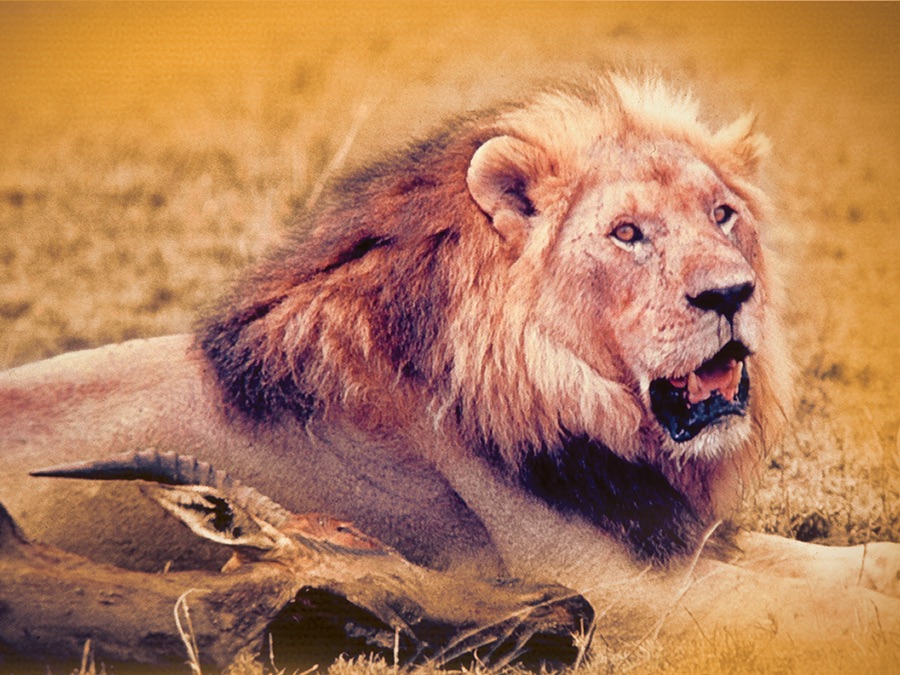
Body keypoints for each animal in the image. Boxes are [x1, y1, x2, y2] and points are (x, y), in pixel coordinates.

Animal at [1, 74, 898, 656]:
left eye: (723, 215)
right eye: (627, 233)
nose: (730, 292)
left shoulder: (683, 539)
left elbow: (852, 564)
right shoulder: (621, 592)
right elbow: (819, 605)